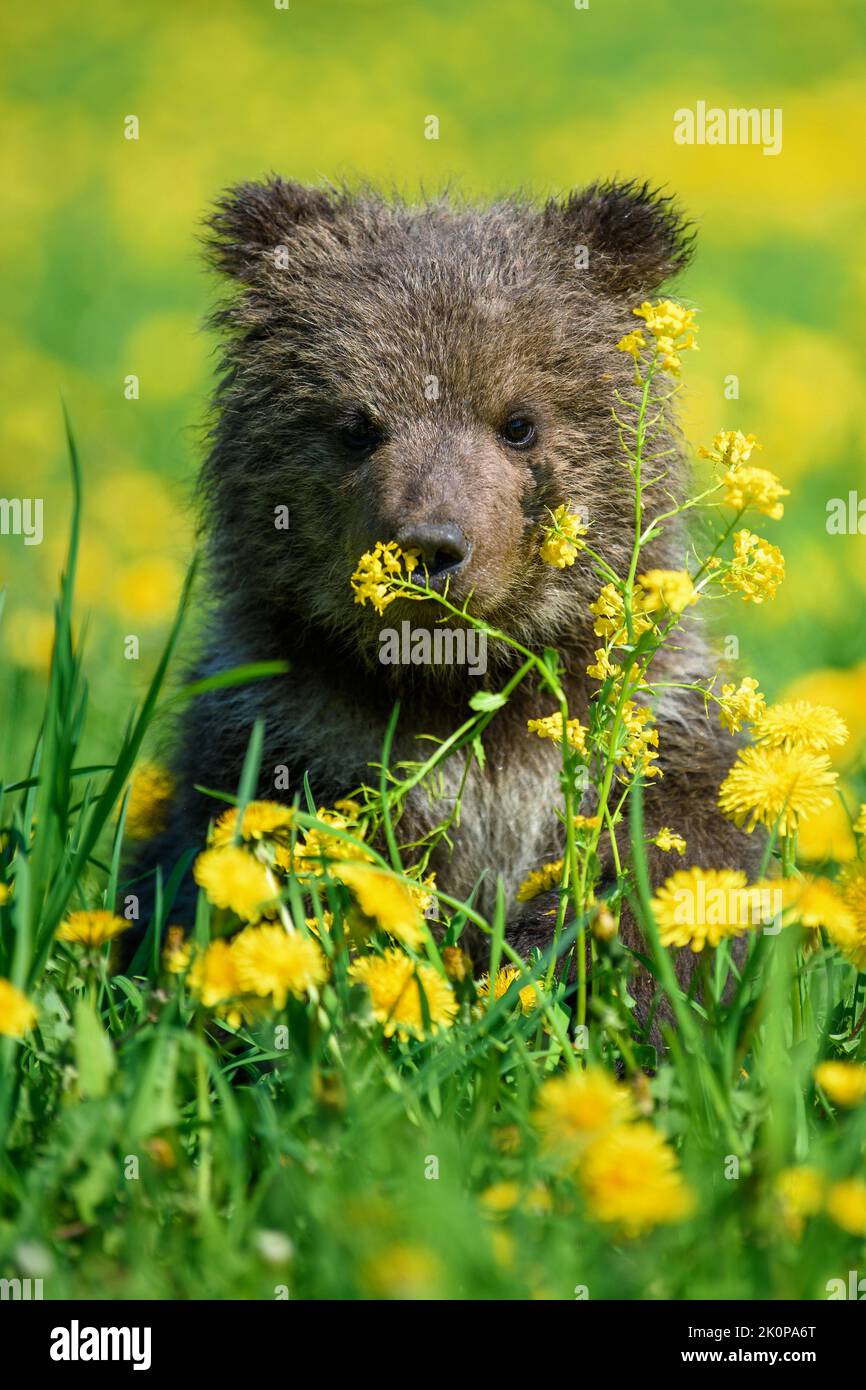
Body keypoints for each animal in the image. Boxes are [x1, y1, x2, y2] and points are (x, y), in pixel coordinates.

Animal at [124, 177, 762, 1022]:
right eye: (357, 425)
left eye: (519, 422)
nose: (430, 544)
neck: (455, 678)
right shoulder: (294, 732)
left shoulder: (640, 723)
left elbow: (671, 862)